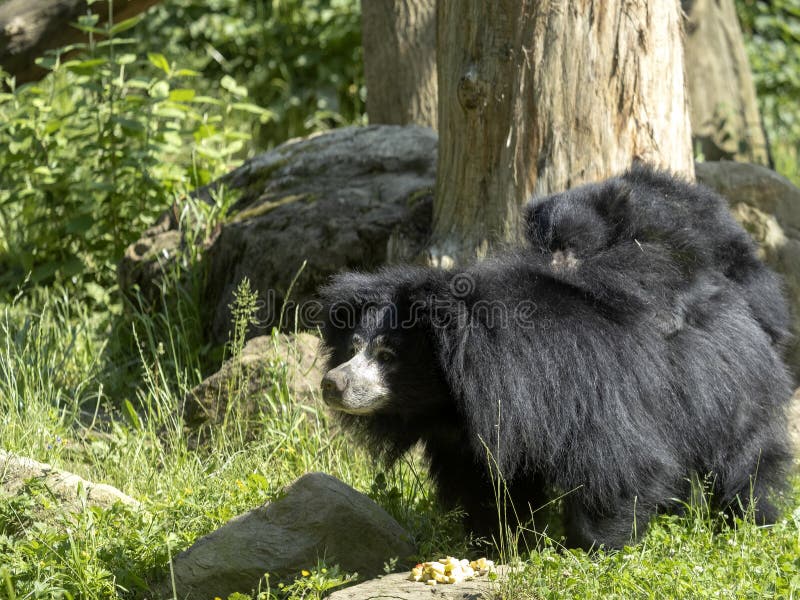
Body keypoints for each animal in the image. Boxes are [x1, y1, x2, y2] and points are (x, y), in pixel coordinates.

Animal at [317, 168, 794, 550]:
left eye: (387, 354)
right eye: (353, 346)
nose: (332, 383)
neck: (453, 399)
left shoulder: (585, 393)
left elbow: (618, 466)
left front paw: (594, 549)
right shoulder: (475, 431)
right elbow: (490, 485)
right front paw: (498, 543)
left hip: (727, 380)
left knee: (747, 456)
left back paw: (748, 520)